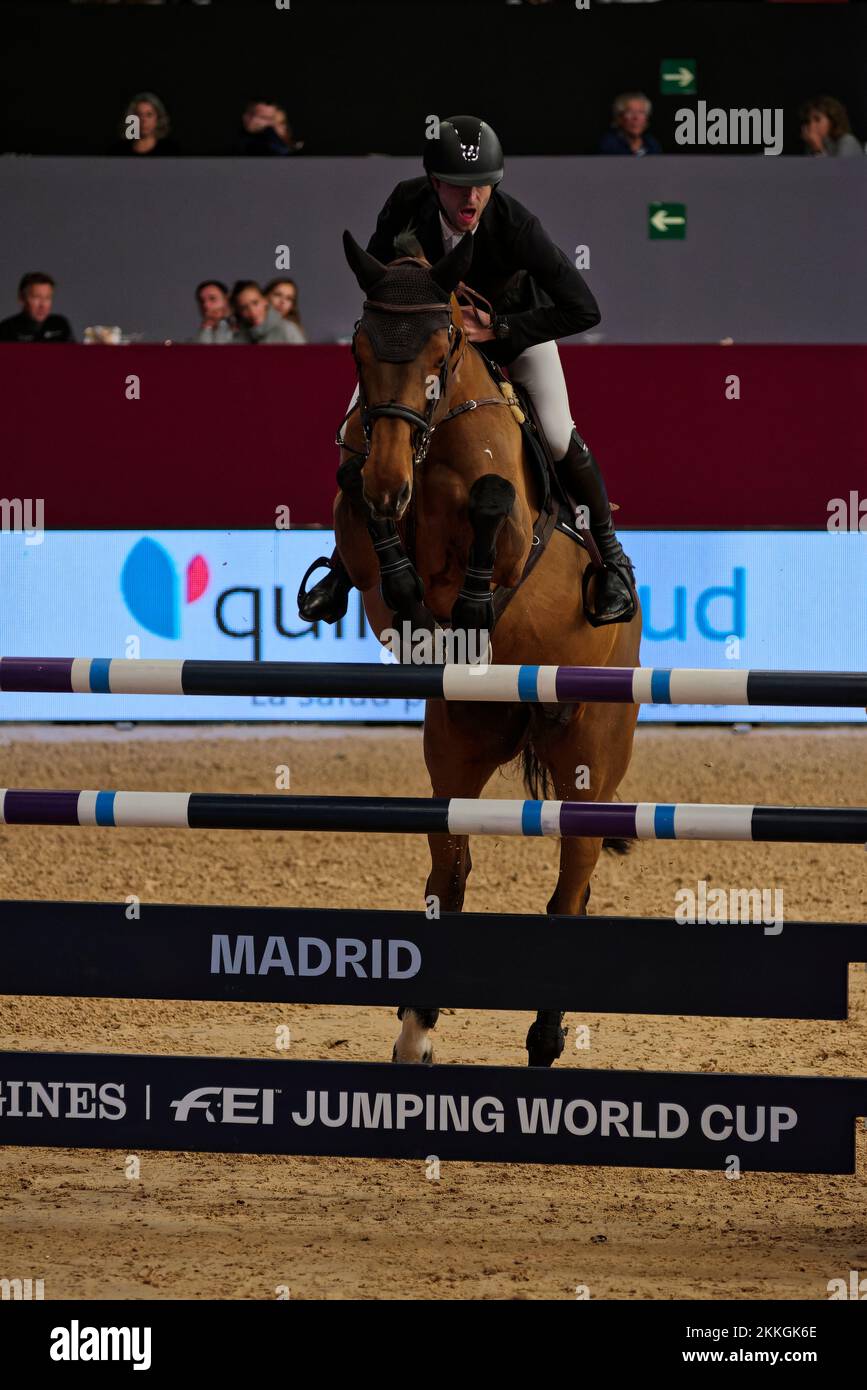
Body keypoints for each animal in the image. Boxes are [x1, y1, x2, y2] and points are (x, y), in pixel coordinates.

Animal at [313, 230, 642, 1066]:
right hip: (456, 743)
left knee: (571, 884)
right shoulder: (361, 509)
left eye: (445, 345)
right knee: (450, 869)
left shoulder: (513, 528)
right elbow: (358, 504)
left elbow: (494, 505)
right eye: (359, 349)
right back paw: (416, 1028)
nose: (393, 478)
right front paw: (407, 583)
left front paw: (467, 603)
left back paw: (545, 1036)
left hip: (588, 750)